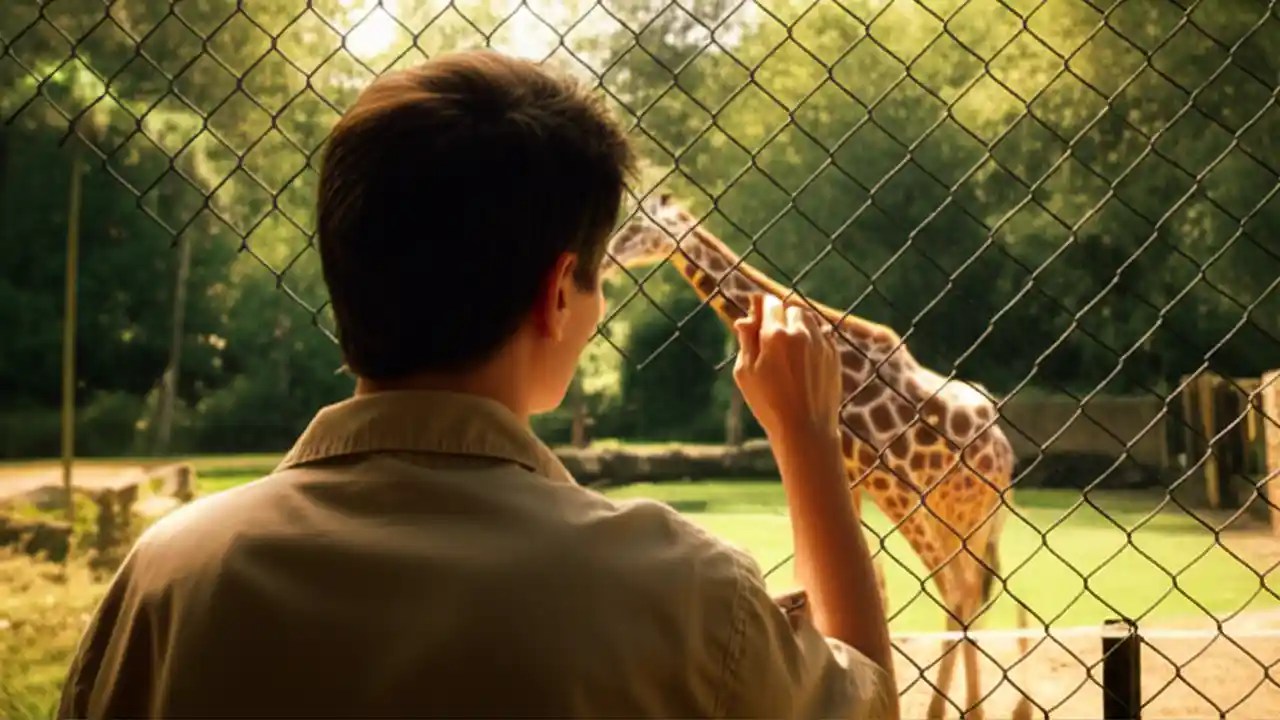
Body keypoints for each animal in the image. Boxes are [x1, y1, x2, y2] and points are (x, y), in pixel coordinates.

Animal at [604, 193, 1033, 720]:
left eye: (636, 226)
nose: (606, 256)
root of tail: (1005, 456)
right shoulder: (857, 477)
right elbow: (880, 583)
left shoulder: (865, 475)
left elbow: (876, 583)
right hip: (956, 514)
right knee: (966, 590)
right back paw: (973, 706)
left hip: (950, 509)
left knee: (962, 590)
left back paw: (962, 708)